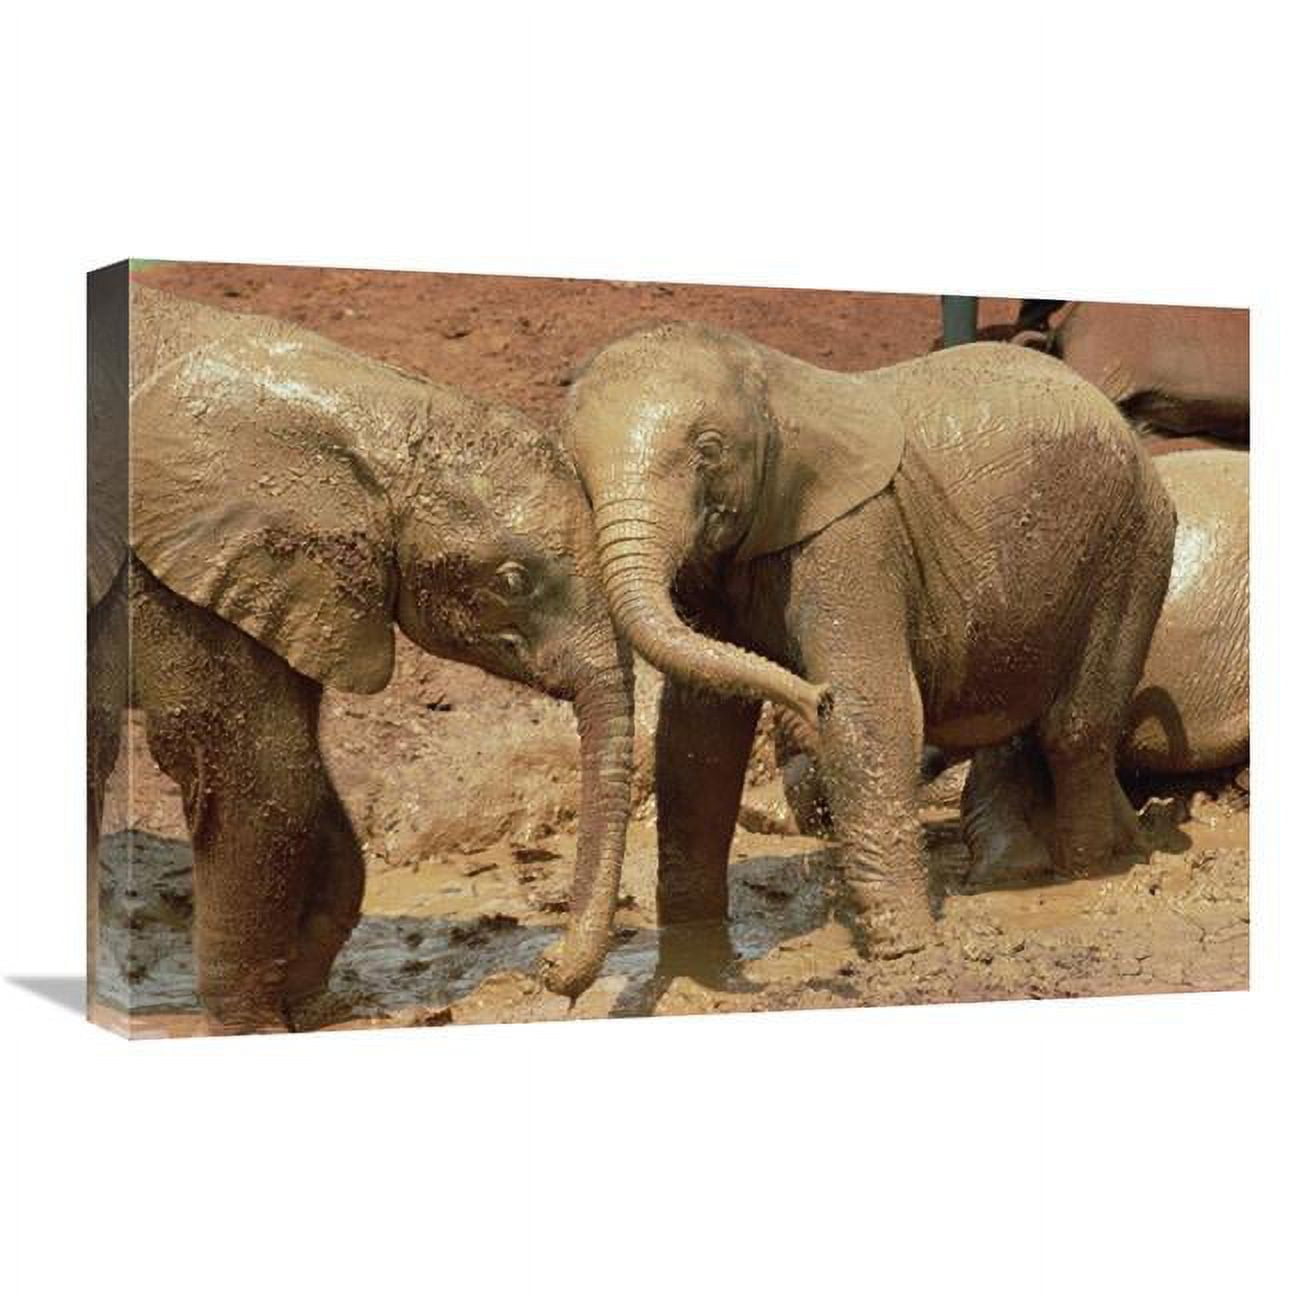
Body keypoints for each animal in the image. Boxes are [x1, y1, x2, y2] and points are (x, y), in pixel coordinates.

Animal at [88, 282, 635, 1030]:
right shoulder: (165, 575)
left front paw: (316, 1008)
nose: (553, 972)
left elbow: (301, 773)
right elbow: (265, 774)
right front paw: (254, 1029)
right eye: (512, 581)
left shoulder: (288, 584)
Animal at [564, 321, 1178, 958]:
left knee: (1074, 729)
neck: (776, 381)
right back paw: (1071, 861)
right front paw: (693, 943)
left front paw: (907, 951)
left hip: (1134, 544)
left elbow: (871, 707)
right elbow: (700, 732)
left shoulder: (854, 533)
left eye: (708, 449)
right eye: (575, 471)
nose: (814, 698)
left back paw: (1084, 876)